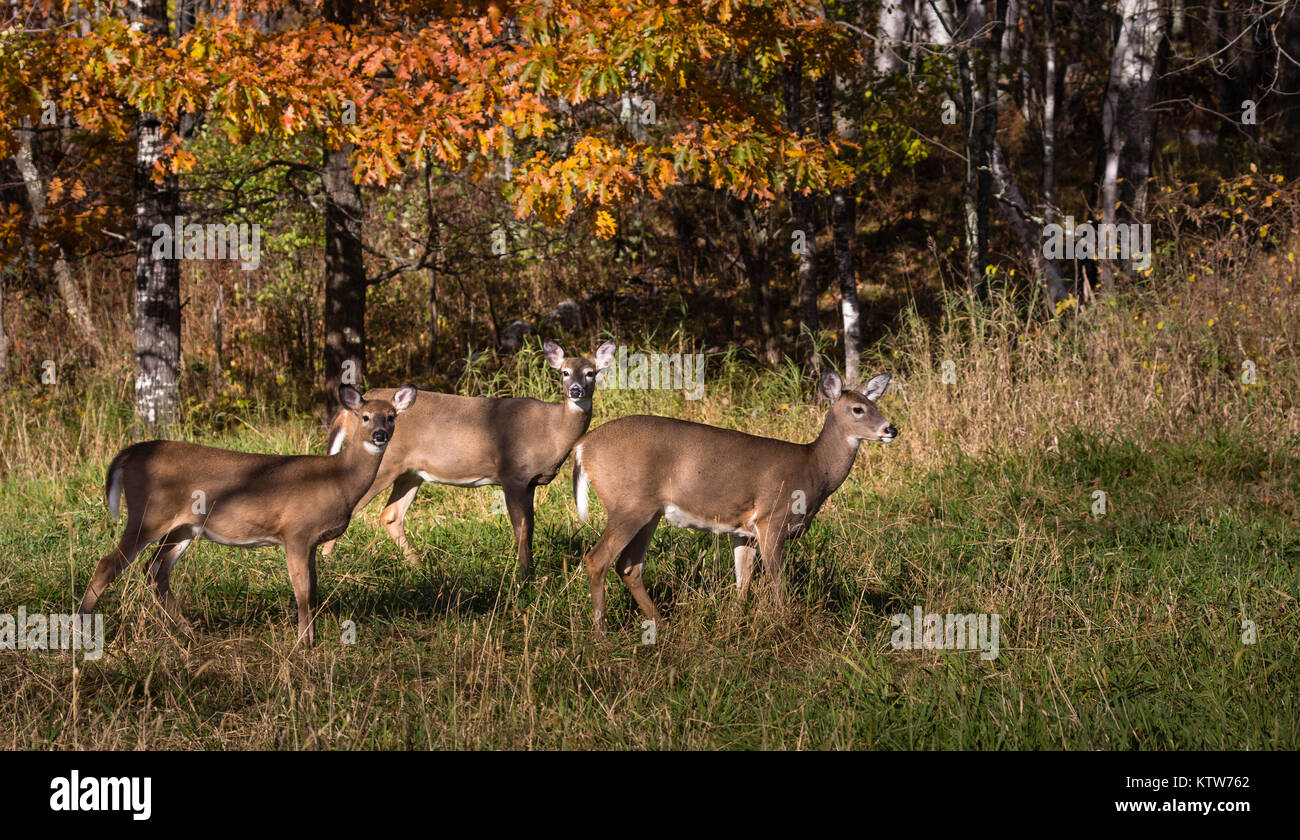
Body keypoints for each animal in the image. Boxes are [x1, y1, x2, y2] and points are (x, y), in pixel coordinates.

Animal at [77, 384, 418, 646]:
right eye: (365, 416)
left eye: (391, 417)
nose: (379, 434)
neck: (339, 479)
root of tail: (129, 454)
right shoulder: (295, 531)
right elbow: (303, 592)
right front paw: (302, 644)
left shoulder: (310, 542)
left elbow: (313, 591)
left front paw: (312, 639)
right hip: (148, 514)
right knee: (108, 565)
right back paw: (81, 628)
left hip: (183, 527)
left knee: (155, 570)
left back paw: (189, 633)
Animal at [319, 340, 617, 578]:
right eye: (564, 372)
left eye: (591, 373)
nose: (575, 390)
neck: (551, 430)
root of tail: (349, 412)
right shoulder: (512, 474)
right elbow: (521, 527)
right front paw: (523, 576)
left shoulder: (530, 482)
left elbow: (530, 527)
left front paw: (530, 571)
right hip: (384, 465)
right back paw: (326, 562)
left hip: (410, 472)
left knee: (391, 515)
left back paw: (419, 567)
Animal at [570, 371, 896, 631]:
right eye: (858, 409)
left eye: (876, 405)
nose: (891, 429)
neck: (815, 468)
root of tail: (583, 447)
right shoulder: (772, 520)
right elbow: (778, 583)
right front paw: (785, 624)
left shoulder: (745, 532)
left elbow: (743, 581)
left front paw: (738, 619)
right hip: (629, 503)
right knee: (597, 559)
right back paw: (602, 632)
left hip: (649, 512)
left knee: (629, 565)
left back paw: (661, 623)